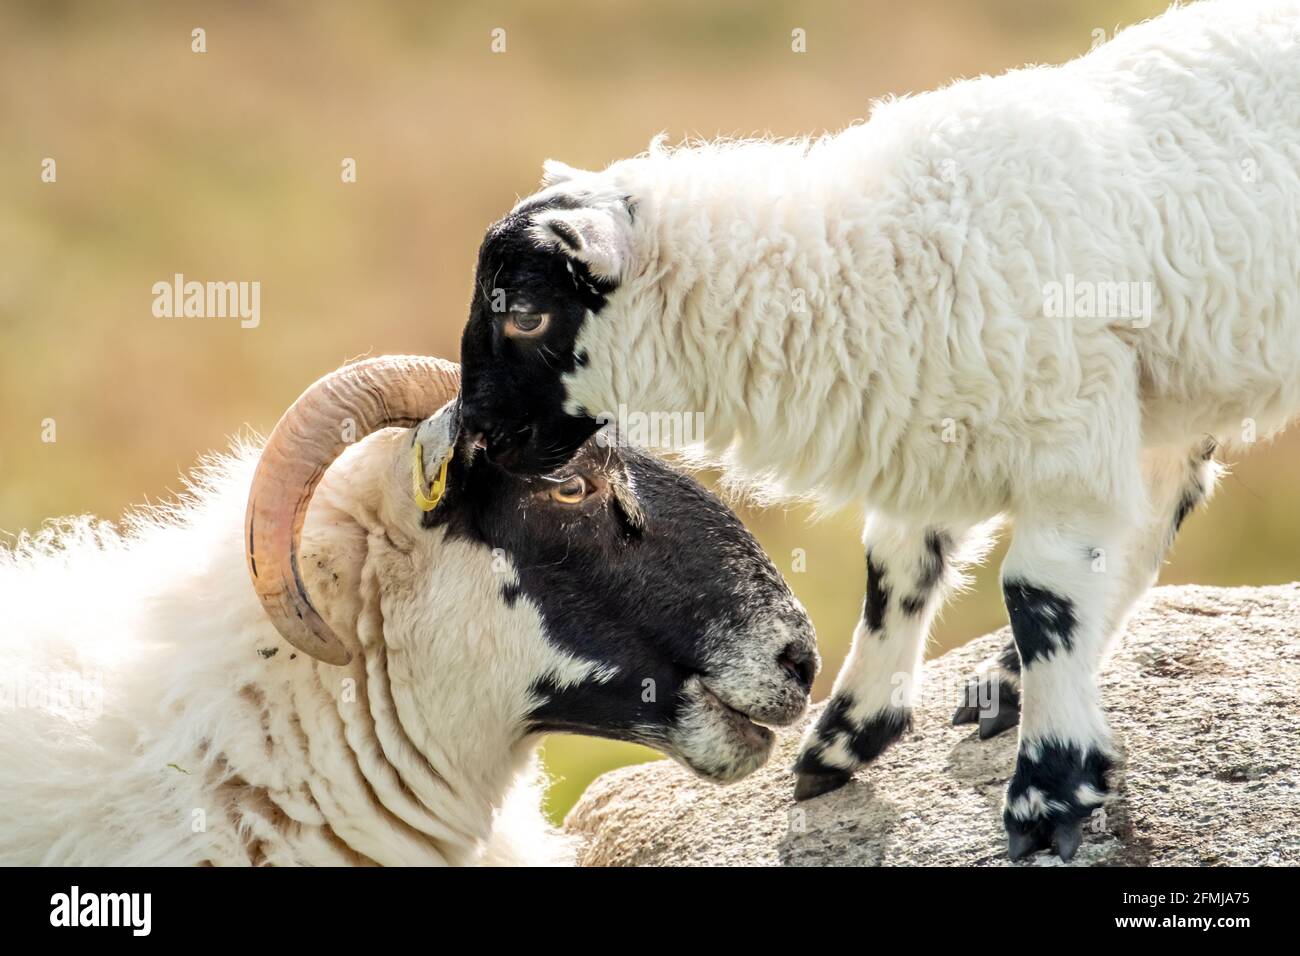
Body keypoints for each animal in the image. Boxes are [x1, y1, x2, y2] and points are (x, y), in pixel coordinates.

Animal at [456, 0, 1300, 861]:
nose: (479, 443)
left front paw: (1048, 793)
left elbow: (1038, 596)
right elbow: (895, 574)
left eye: (526, 314)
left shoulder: (1068, 443)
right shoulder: (934, 435)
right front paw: (844, 742)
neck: (861, 265)